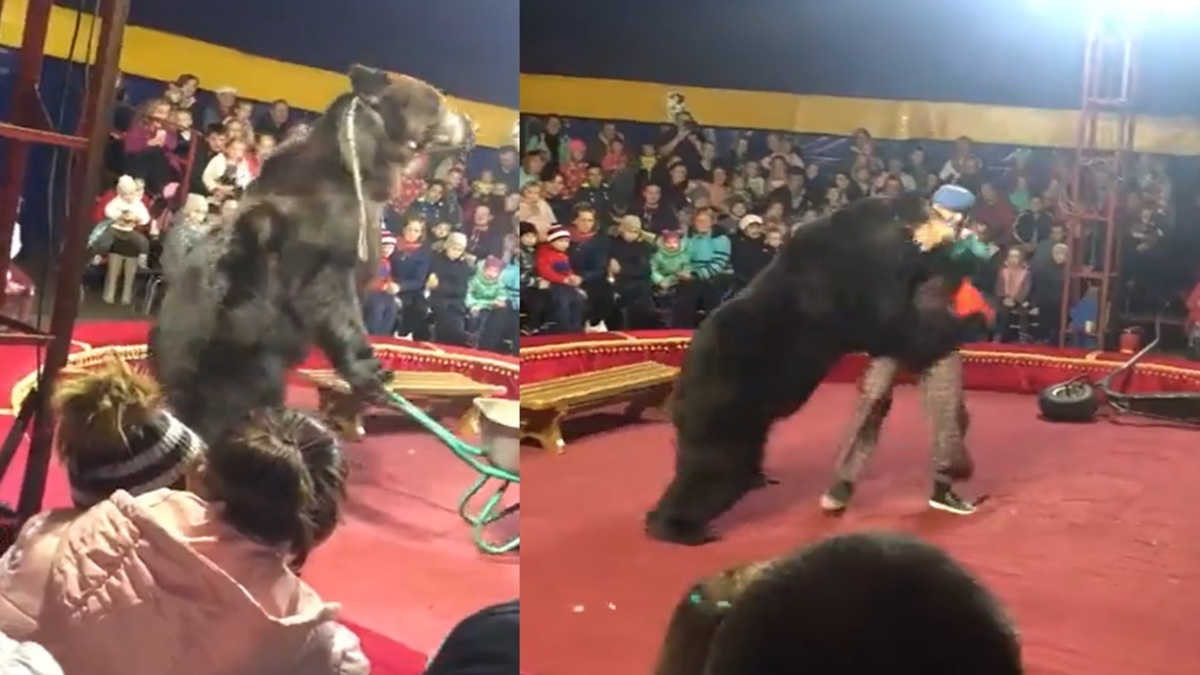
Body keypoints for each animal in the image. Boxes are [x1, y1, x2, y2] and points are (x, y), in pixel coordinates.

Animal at [156, 61, 477, 441]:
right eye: (438, 103)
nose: (470, 122)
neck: (363, 166)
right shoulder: (320, 234)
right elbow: (330, 294)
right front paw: (371, 370)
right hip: (235, 336)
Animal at [652, 192, 979, 542]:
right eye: (920, 206)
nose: (925, 202)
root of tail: (680, 390)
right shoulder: (860, 280)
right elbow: (896, 323)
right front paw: (966, 316)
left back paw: (755, 480)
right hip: (726, 407)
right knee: (716, 468)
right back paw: (680, 527)